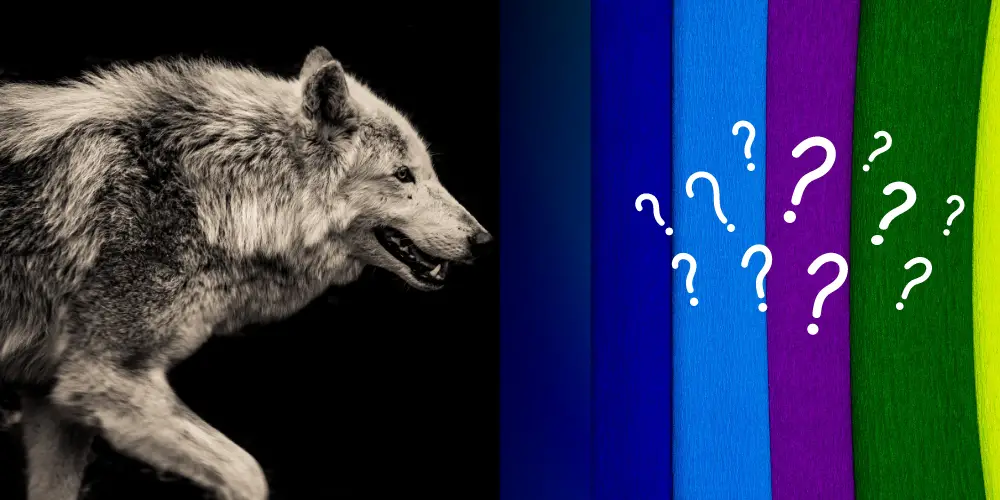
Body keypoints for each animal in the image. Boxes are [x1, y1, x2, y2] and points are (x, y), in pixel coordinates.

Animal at [0, 46, 492, 500]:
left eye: (427, 172)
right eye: (403, 175)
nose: (483, 240)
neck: (219, 192)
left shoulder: (50, 395)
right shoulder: (100, 378)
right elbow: (248, 473)